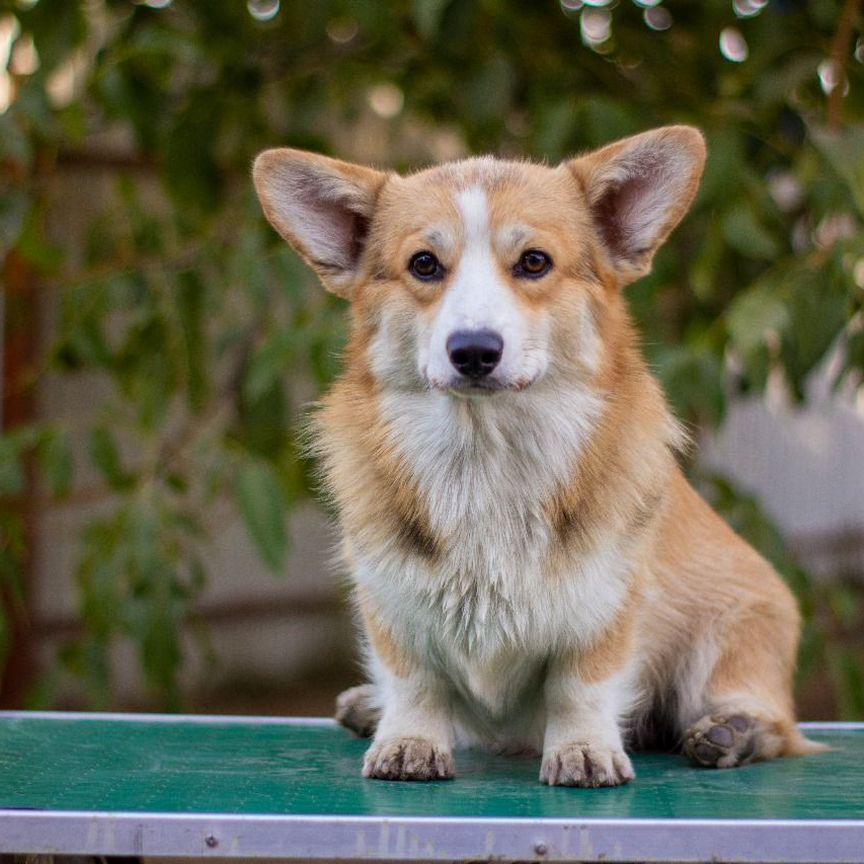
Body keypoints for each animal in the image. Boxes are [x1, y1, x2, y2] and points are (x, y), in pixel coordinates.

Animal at [253, 126, 820, 784]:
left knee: (775, 721)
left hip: (734, 634)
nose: (474, 351)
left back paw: (733, 731)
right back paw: (370, 708)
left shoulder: (604, 603)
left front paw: (584, 750)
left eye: (534, 262)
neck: (485, 455)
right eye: (424, 264)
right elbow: (415, 682)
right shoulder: (392, 604)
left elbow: (580, 685)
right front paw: (407, 739)